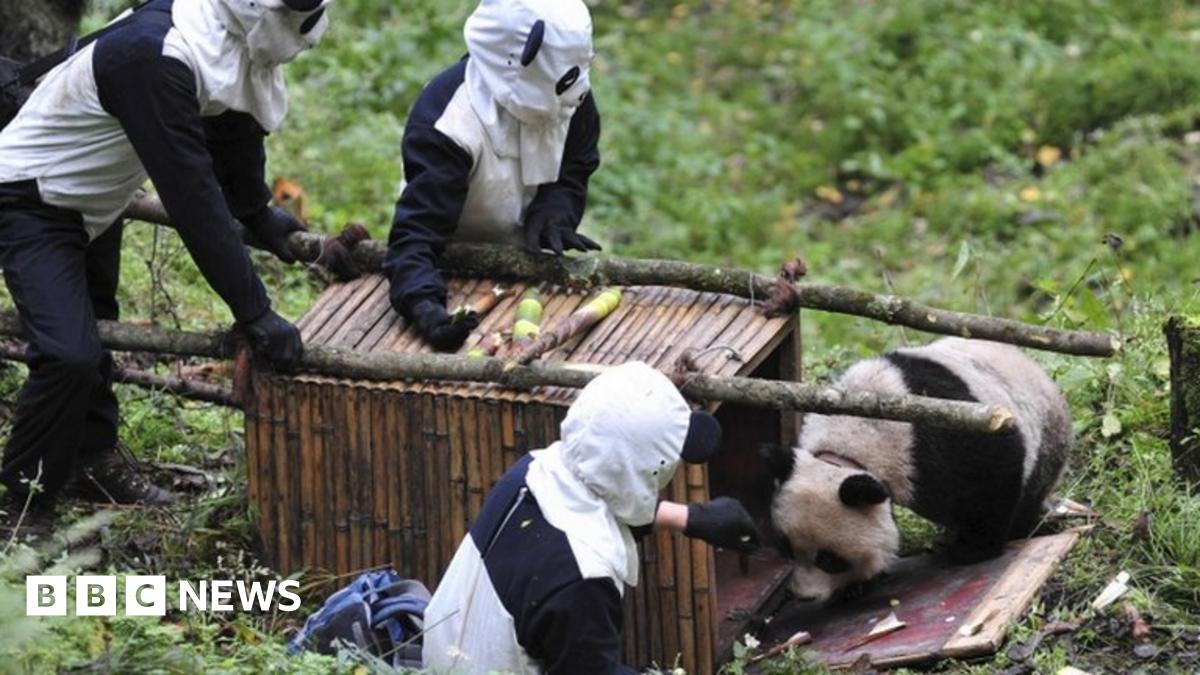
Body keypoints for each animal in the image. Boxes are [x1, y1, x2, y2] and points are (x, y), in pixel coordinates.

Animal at [765, 337, 1073, 603]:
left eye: (829, 560)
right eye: (786, 548)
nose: (803, 596)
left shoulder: (939, 430)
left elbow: (990, 473)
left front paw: (973, 549)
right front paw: (858, 586)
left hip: (1045, 437)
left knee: (1027, 492)